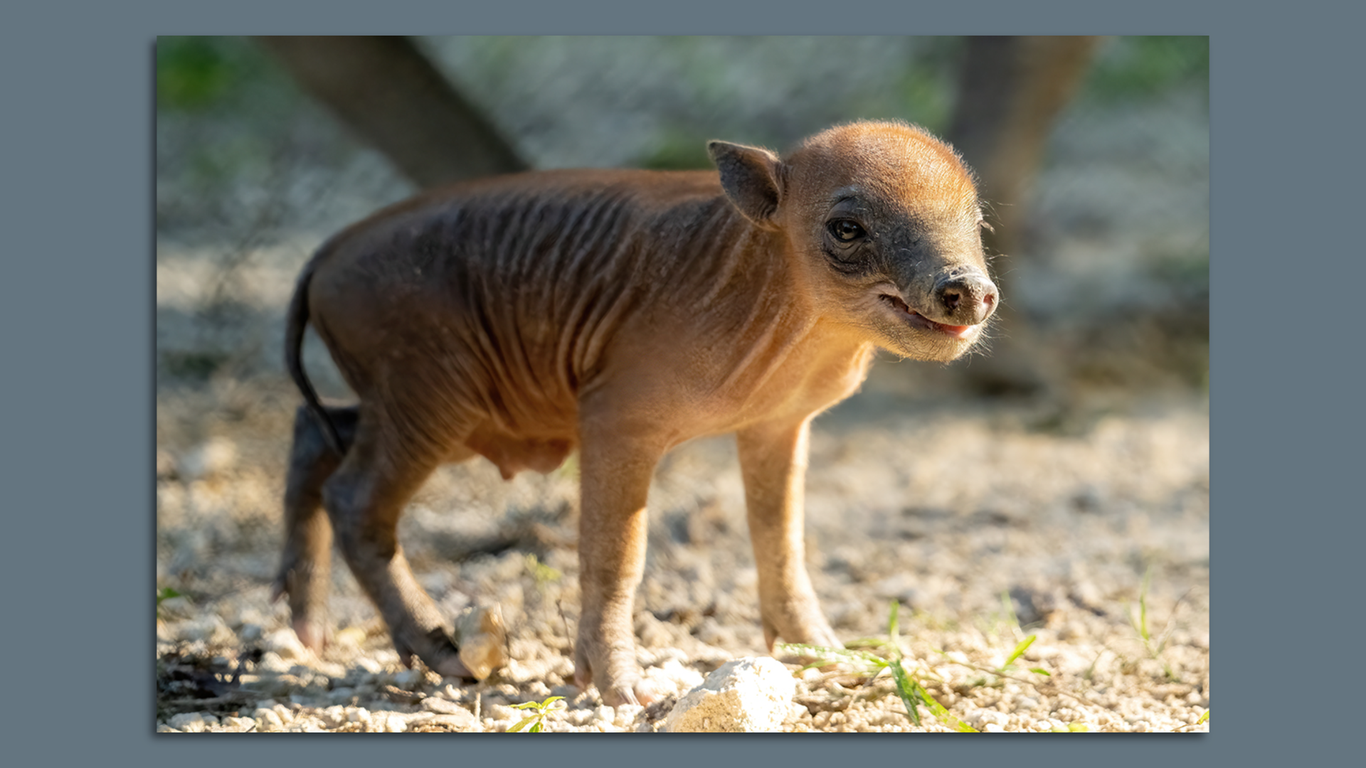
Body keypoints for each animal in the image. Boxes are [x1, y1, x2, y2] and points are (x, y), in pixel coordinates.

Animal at [274, 120, 999, 706]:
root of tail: (325, 254)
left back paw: (307, 632)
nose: (968, 291)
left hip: (438, 411)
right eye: (846, 228)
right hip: (430, 398)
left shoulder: (779, 426)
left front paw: (827, 655)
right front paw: (620, 690)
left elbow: (780, 539)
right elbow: (616, 555)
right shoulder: (617, 424)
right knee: (355, 497)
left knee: (316, 432)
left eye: (980, 223)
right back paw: (443, 654)